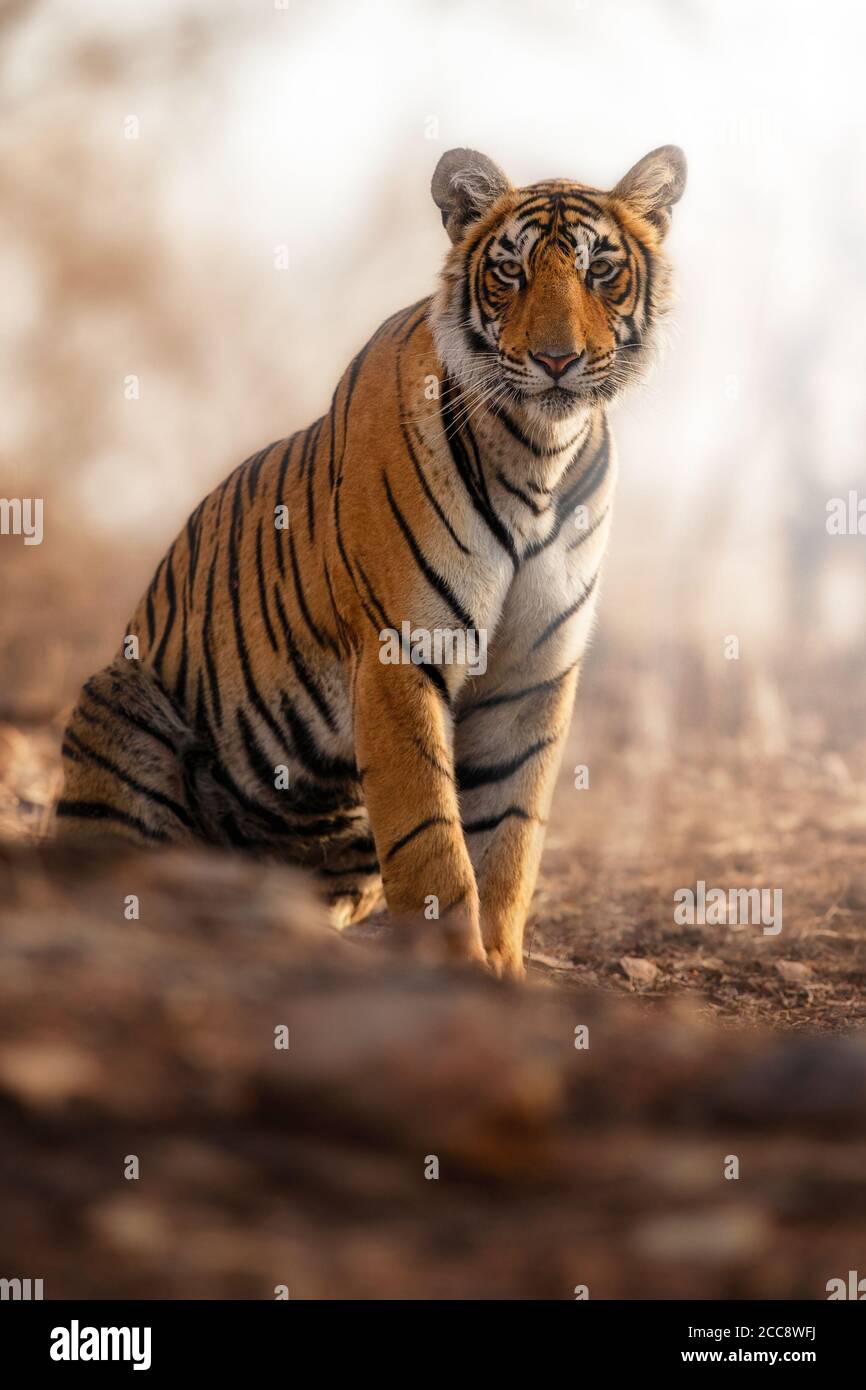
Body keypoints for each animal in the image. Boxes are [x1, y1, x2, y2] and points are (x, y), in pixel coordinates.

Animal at [56, 144, 686, 977]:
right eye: (511, 271)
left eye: (600, 271)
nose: (557, 360)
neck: (538, 454)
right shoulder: (401, 649)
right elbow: (434, 844)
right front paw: (459, 975)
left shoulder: (534, 674)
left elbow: (509, 840)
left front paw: (503, 973)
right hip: (121, 697)